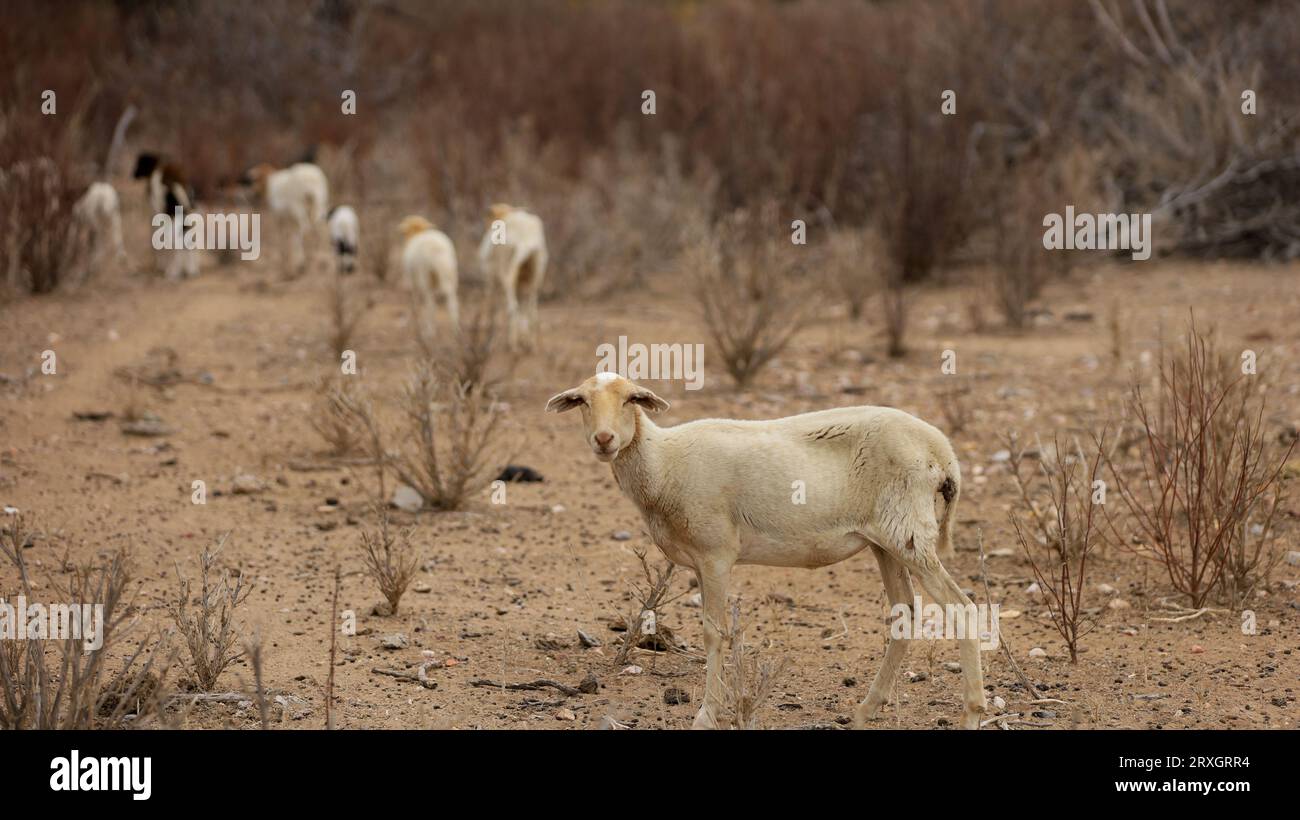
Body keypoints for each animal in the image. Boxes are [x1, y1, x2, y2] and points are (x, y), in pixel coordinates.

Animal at [477, 203, 547, 351]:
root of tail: (526, 239)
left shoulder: (490, 281)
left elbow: (491, 308)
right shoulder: (522, 284)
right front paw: (524, 339)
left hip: (507, 275)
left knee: (512, 307)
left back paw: (512, 345)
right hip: (535, 276)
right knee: (532, 311)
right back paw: (531, 345)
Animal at [546, 373, 986, 730]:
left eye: (630, 400)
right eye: (582, 401)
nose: (604, 440)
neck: (663, 462)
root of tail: (944, 452)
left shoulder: (716, 554)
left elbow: (714, 633)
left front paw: (706, 715)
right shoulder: (701, 561)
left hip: (910, 534)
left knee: (962, 608)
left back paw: (972, 713)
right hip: (887, 542)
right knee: (904, 614)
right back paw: (865, 710)